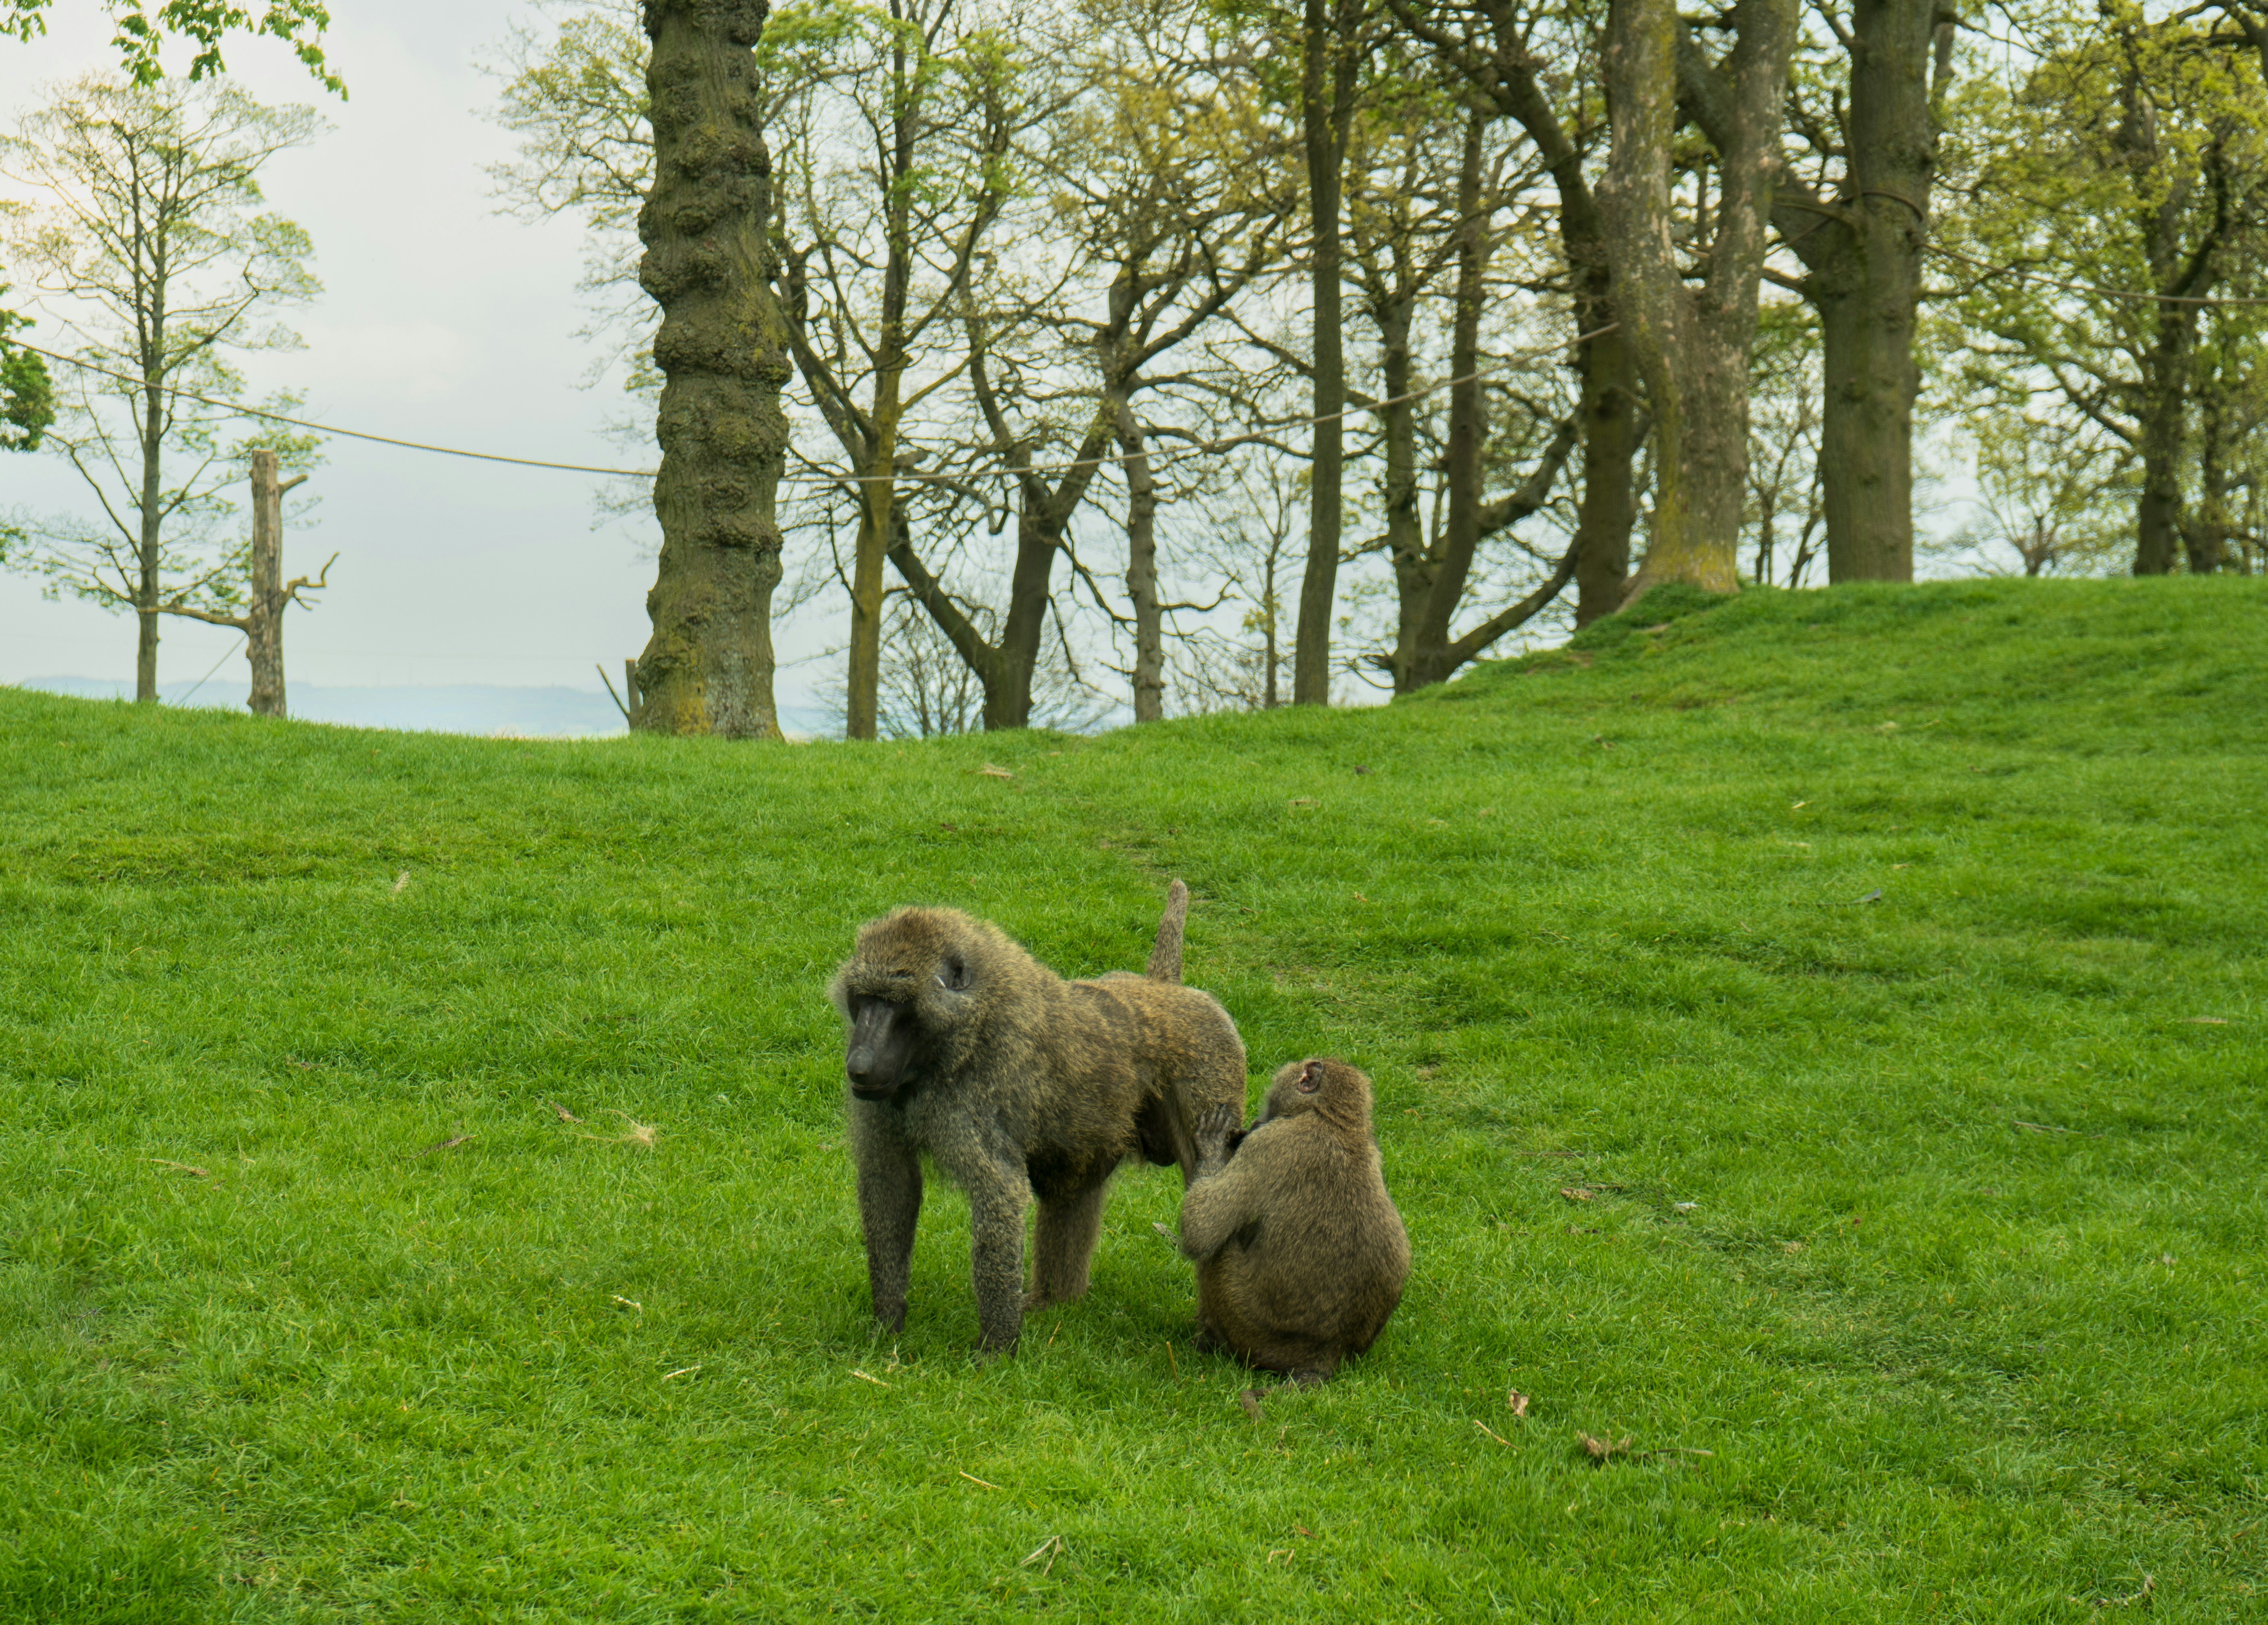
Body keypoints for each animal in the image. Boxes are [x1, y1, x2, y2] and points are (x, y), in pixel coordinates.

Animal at [830, 880, 1246, 1354]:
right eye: (865, 1000)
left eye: (895, 1005)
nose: (860, 1063)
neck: (962, 1030)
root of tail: (1164, 992)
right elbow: (891, 1182)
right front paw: (888, 1322)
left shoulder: (978, 1092)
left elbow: (999, 1192)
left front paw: (996, 1348)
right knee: (1073, 1192)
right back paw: (1055, 1304)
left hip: (1212, 1065)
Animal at [1176, 1057, 1410, 1387]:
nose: (1257, 1122)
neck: (1336, 1121)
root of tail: (1329, 1354)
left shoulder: (1266, 1144)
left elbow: (1200, 1231)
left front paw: (1211, 1143)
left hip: (1243, 1321)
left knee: (1216, 1251)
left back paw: (1208, 1342)